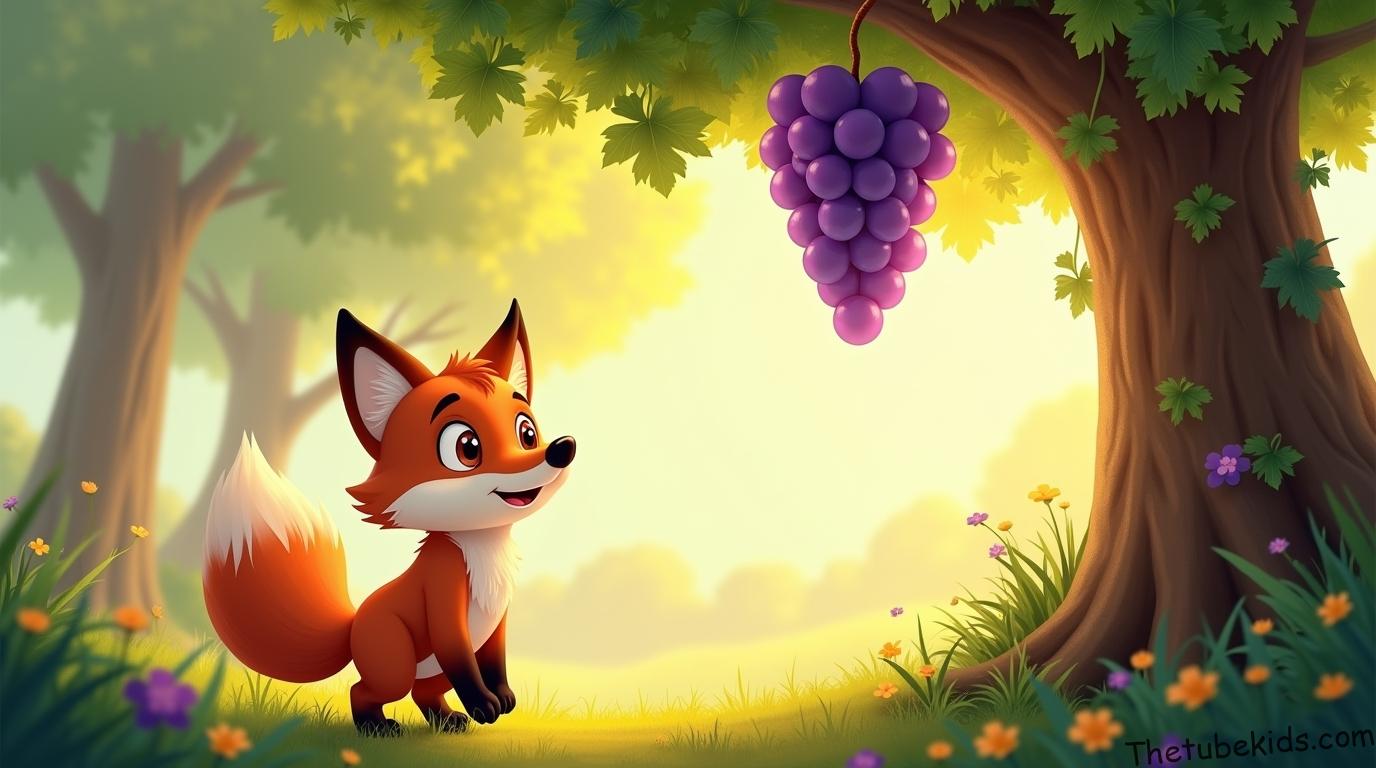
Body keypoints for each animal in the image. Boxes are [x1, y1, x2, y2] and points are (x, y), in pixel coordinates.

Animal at [202, 300, 575, 735]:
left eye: (527, 432)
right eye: (466, 447)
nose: (561, 449)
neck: (482, 551)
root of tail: (351, 627)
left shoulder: (495, 623)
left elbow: (495, 660)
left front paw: (501, 695)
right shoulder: (445, 601)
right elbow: (464, 663)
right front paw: (484, 704)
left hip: (429, 671)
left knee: (422, 693)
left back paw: (448, 720)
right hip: (394, 661)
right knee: (365, 690)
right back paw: (377, 727)